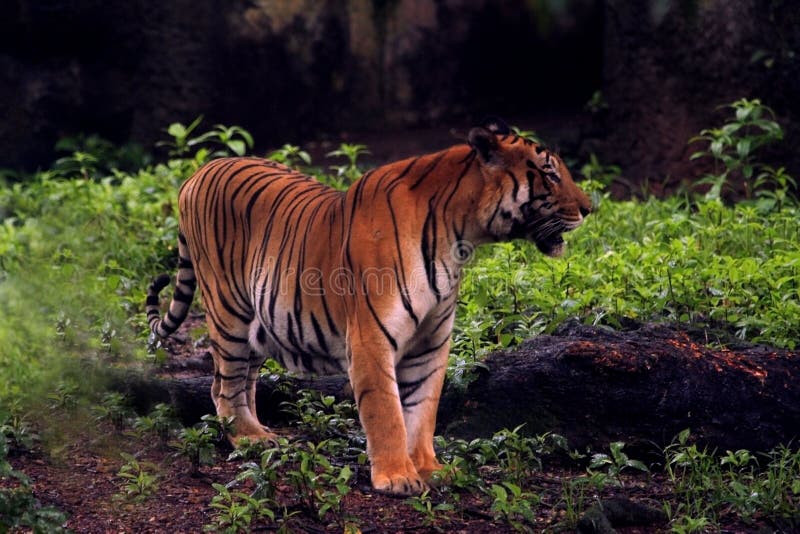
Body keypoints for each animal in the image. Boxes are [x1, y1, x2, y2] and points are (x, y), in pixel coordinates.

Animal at [145, 117, 591, 495]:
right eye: (550, 173)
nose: (590, 208)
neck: (460, 235)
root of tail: (197, 173)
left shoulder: (431, 341)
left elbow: (422, 408)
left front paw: (428, 468)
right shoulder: (371, 335)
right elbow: (386, 410)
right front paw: (396, 477)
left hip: (260, 320)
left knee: (235, 380)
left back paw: (264, 434)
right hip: (229, 310)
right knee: (225, 384)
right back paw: (248, 438)